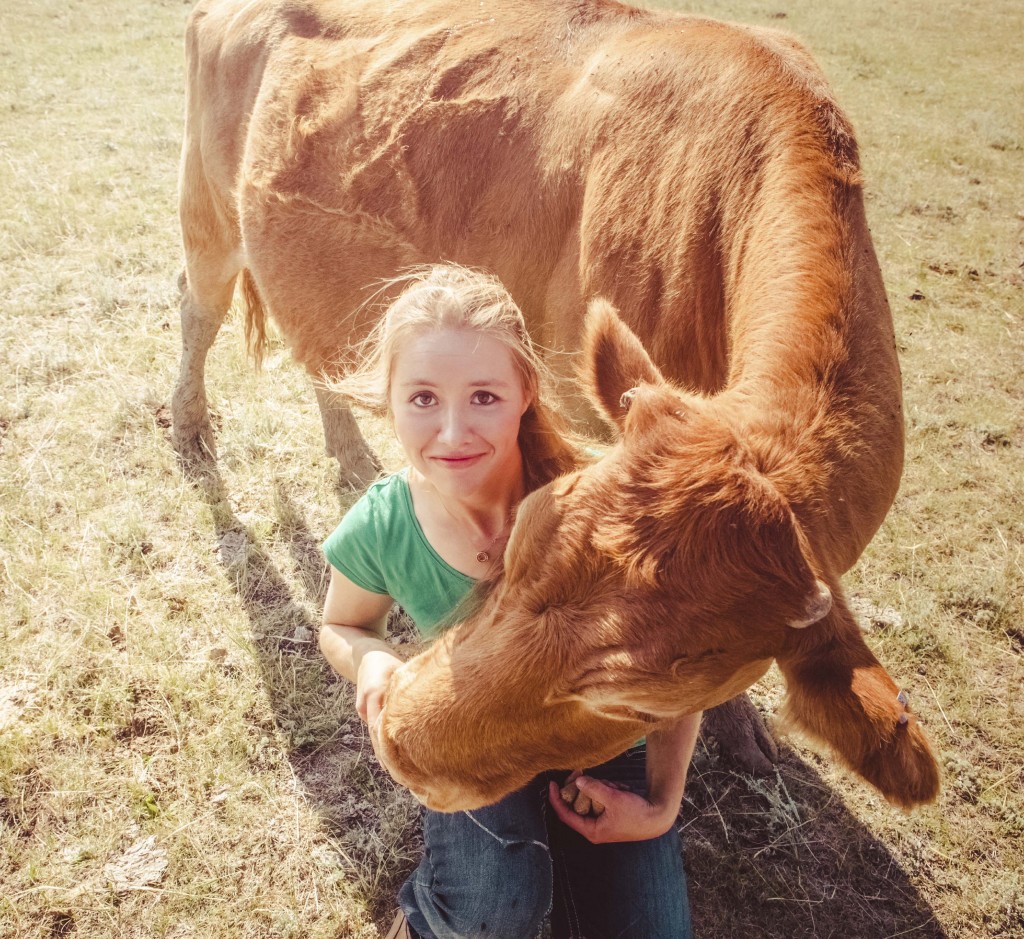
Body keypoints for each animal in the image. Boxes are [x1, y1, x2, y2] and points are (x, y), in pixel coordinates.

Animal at [172, 0, 940, 808]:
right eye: (525, 537)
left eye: (637, 704)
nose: (401, 741)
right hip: (208, 217)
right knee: (197, 306)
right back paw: (190, 429)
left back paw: (352, 462)